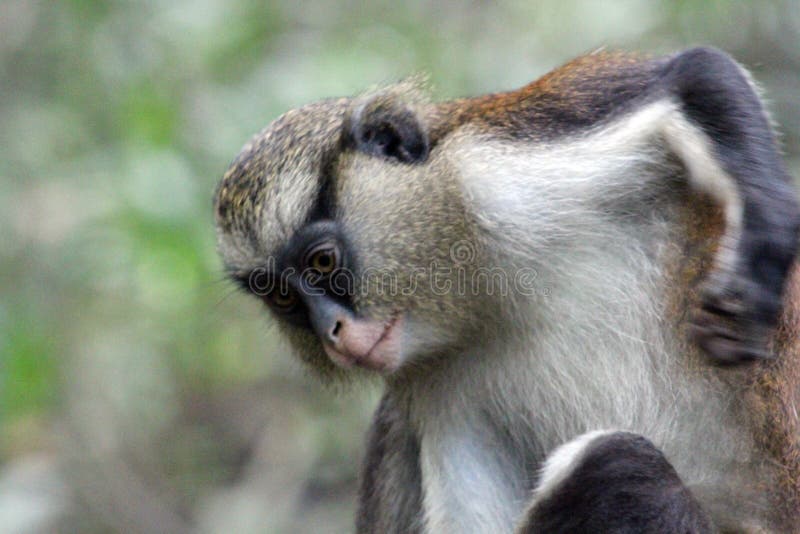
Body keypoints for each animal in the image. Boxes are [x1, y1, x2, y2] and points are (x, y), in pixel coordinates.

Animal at [214, 47, 800, 532]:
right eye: (284, 298)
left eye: (322, 262)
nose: (333, 332)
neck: (489, 296)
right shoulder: (439, 390)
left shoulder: (498, 175)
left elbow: (692, 73)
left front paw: (763, 244)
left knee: (614, 464)